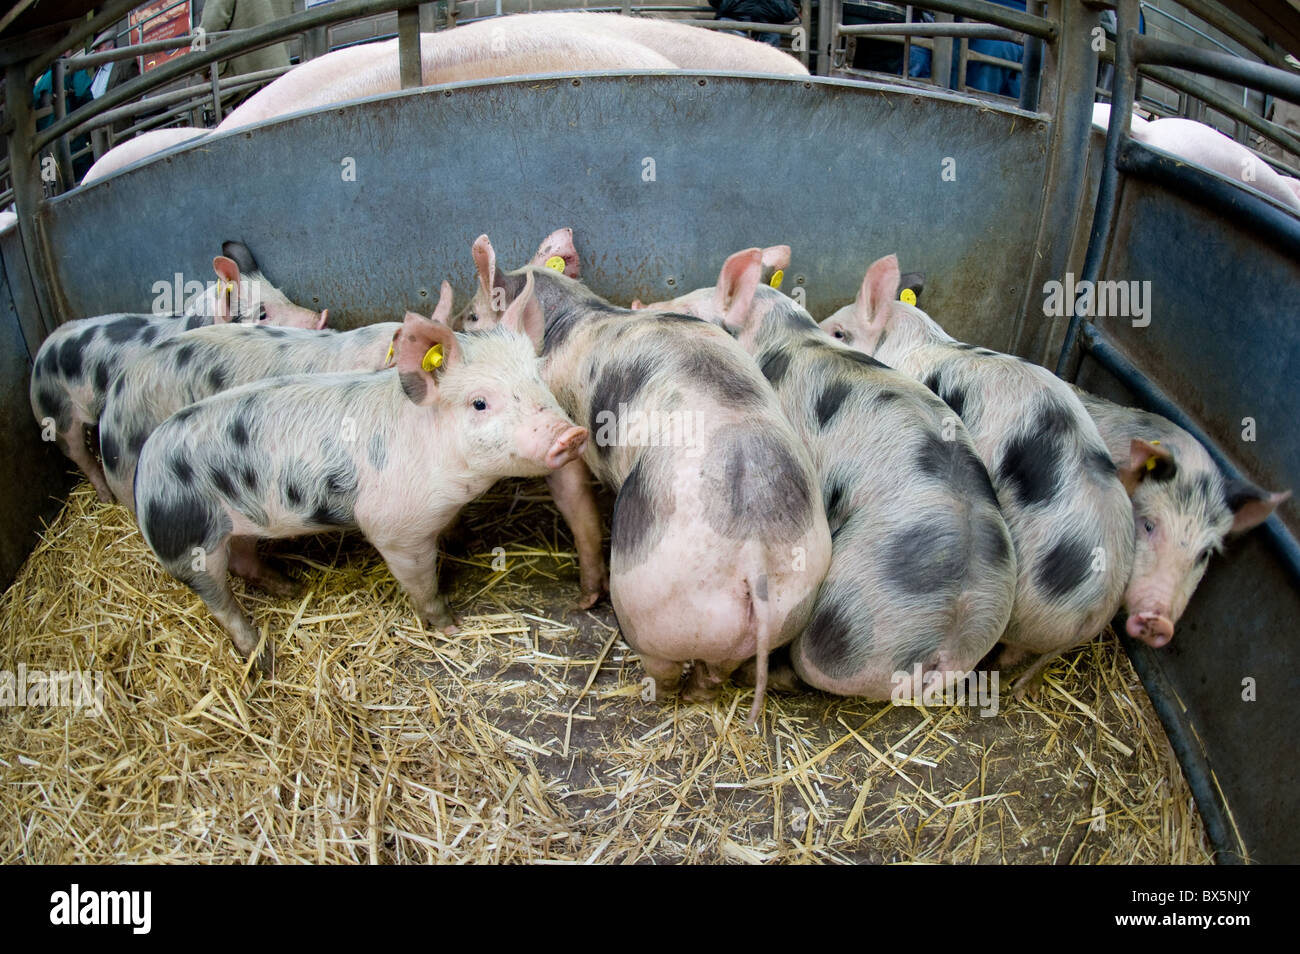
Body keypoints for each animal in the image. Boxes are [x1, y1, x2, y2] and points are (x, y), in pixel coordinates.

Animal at [29, 241, 327, 501]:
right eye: (262, 313)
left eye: (282, 293)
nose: (321, 317)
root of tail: (43, 350)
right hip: (56, 418)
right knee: (80, 456)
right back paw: (105, 498)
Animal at [134, 278, 587, 670]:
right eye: (479, 403)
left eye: (538, 379)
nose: (572, 434)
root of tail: (145, 466)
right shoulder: (395, 528)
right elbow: (423, 585)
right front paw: (450, 626)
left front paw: (467, 540)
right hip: (187, 542)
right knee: (220, 601)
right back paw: (260, 657)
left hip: (236, 525)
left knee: (244, 560)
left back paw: (291, 587)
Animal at [468, 235, 831, 724]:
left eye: (471, 316)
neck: (570, 318)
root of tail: (754, 551)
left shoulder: (564, 435)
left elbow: (579, 511)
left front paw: (581, 600)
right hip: (785, 607)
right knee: (714, 675)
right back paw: (696, 694)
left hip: (649, 598)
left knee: (663, 666)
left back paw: (650, 693)